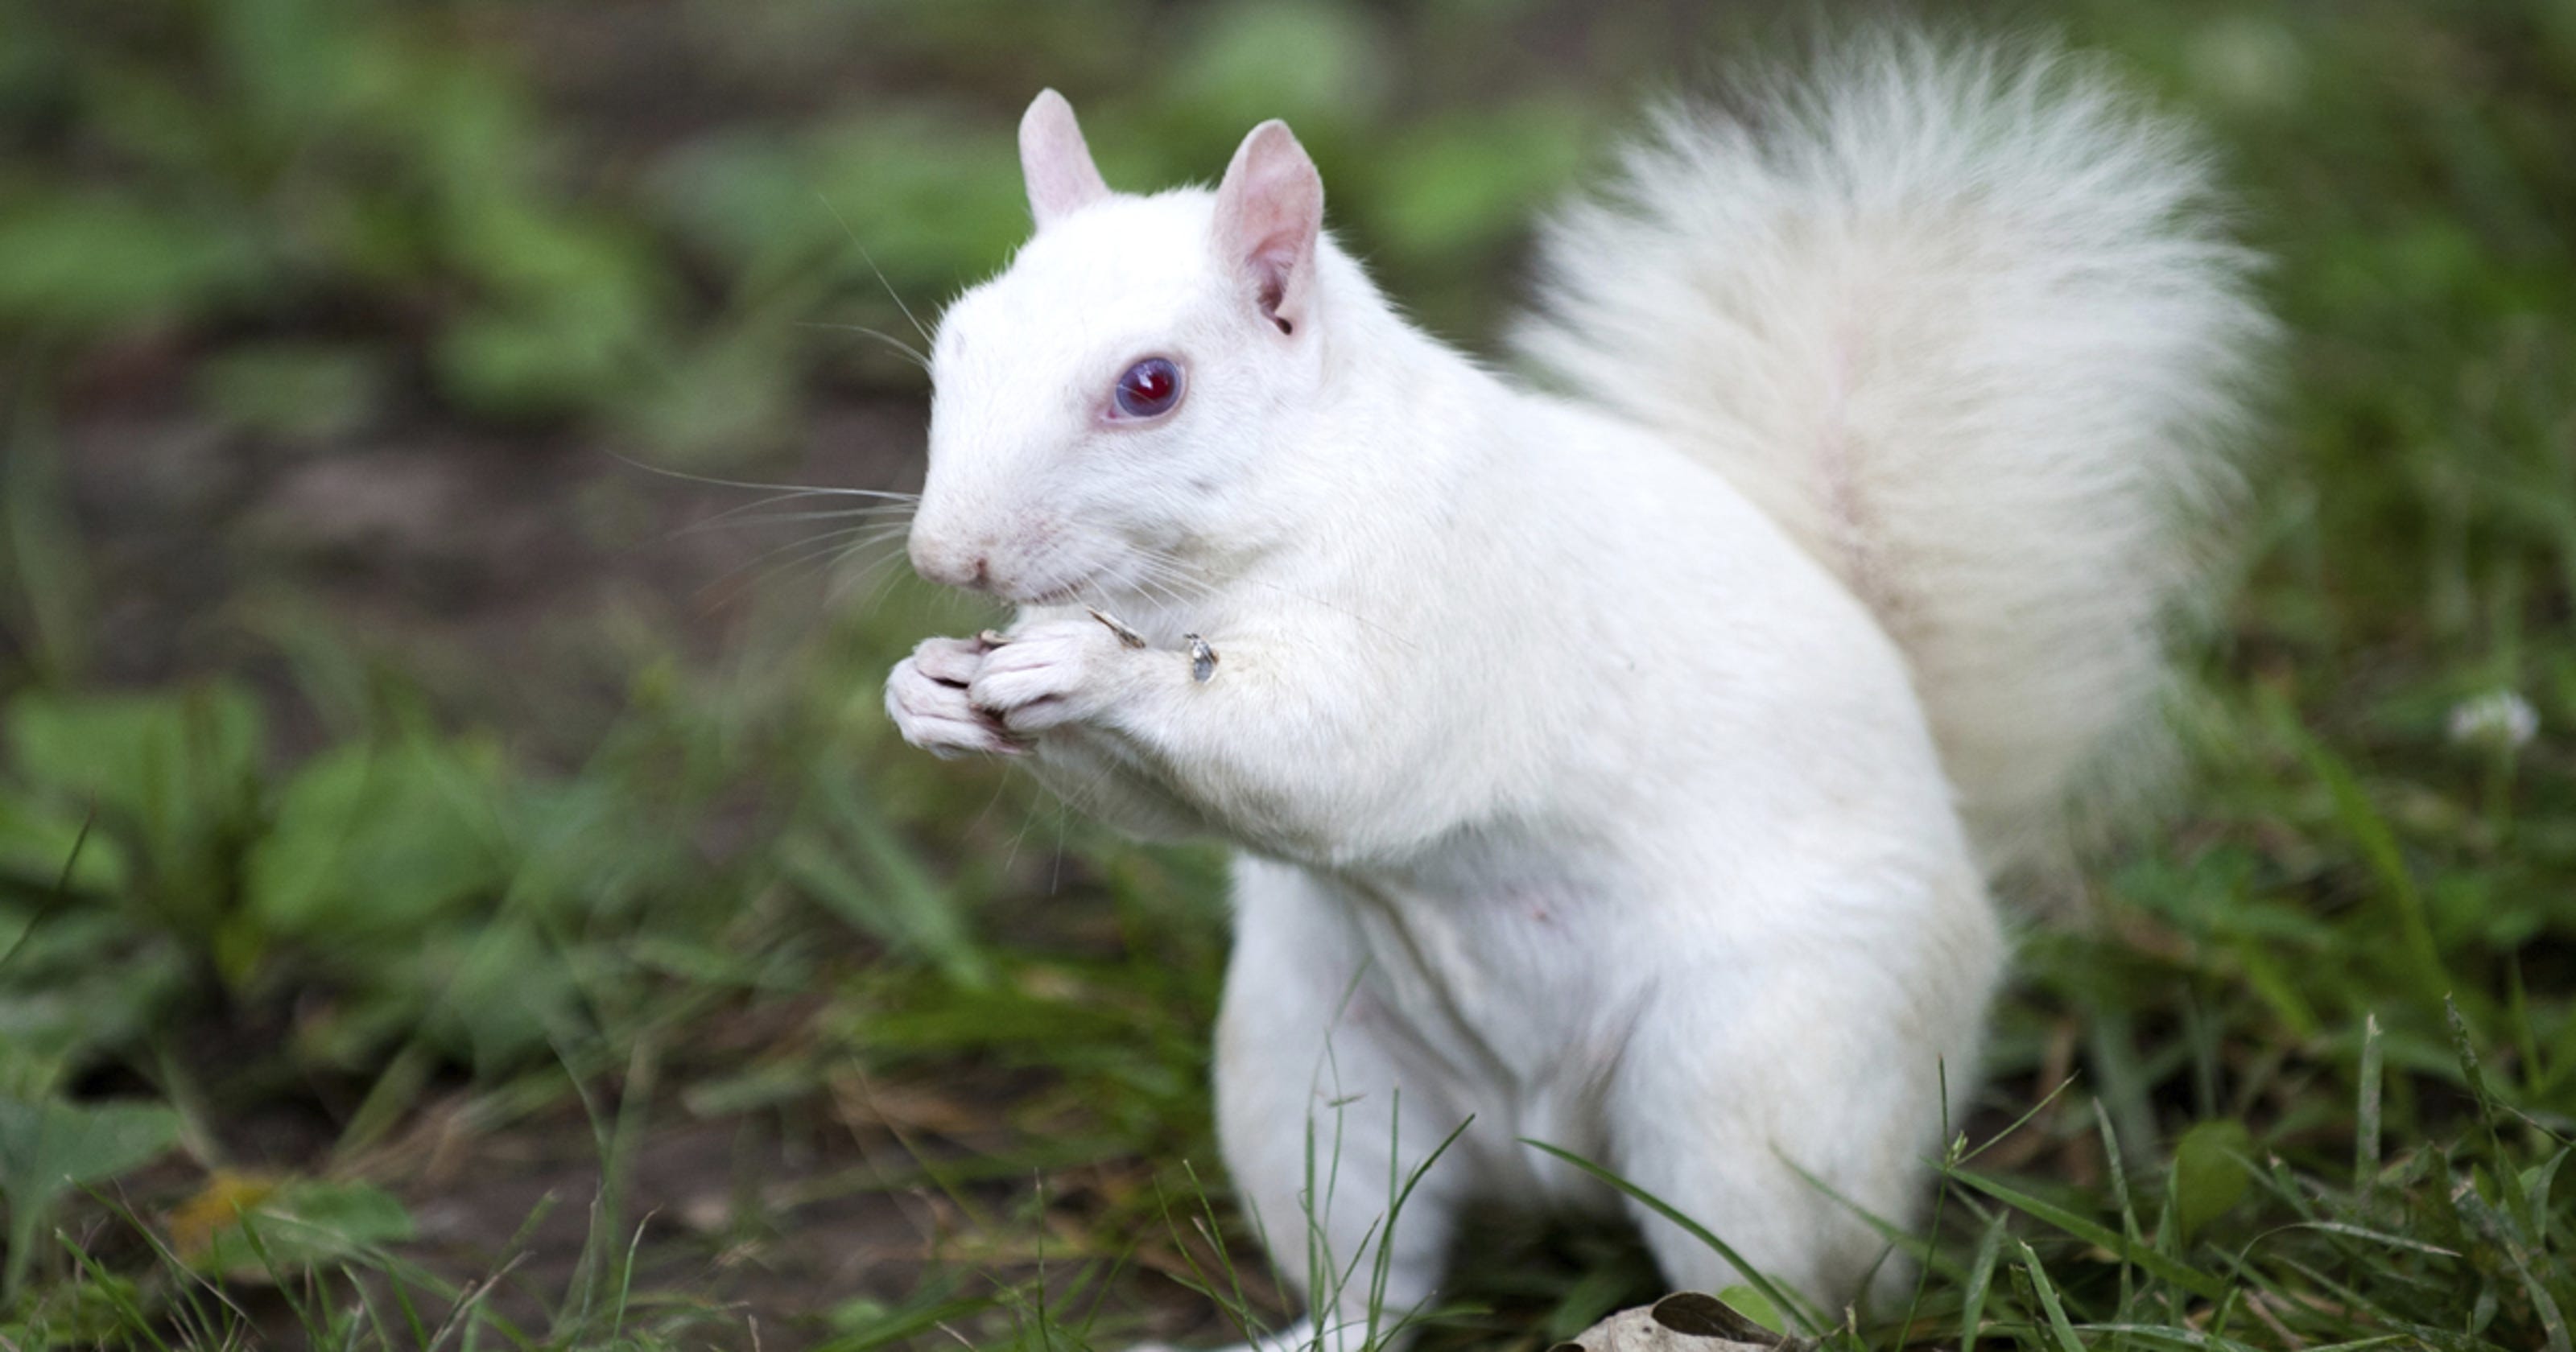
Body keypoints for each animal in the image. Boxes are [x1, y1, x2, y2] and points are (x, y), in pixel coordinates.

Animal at [884, 31, 2266, 1351]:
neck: (1207, 572)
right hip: (1311, 1085)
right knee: (1376, 1282)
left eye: (1152, 385)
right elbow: (1167, 803)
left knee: (1793, 1283)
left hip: (1753, 1081)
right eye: (957, 344)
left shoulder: (1447, 608)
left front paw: (1087, 667)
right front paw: (928, 691)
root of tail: (1546, 1157)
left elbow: (1335, 757)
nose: (948, 558)